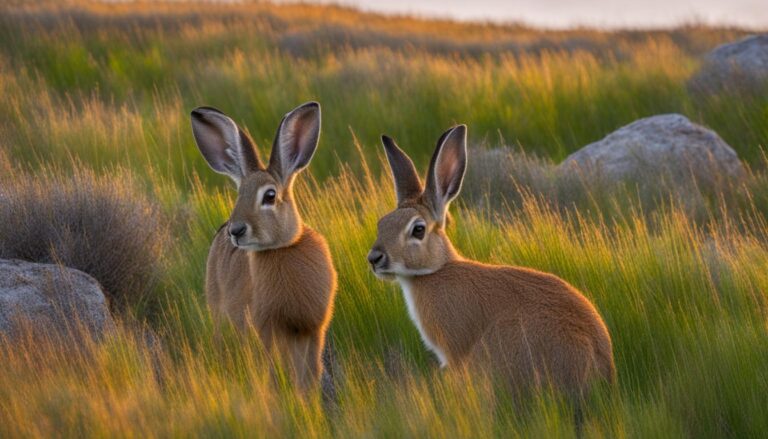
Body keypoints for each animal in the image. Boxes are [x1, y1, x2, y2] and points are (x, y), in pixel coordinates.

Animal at [190, 102, 336, 392]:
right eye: (239, 195)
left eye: (270, 196)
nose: (236, 231)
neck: (282, 247)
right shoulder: (267, 328)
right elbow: (275, 366)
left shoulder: (312, 329)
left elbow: (310, 369)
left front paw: (308, 397)